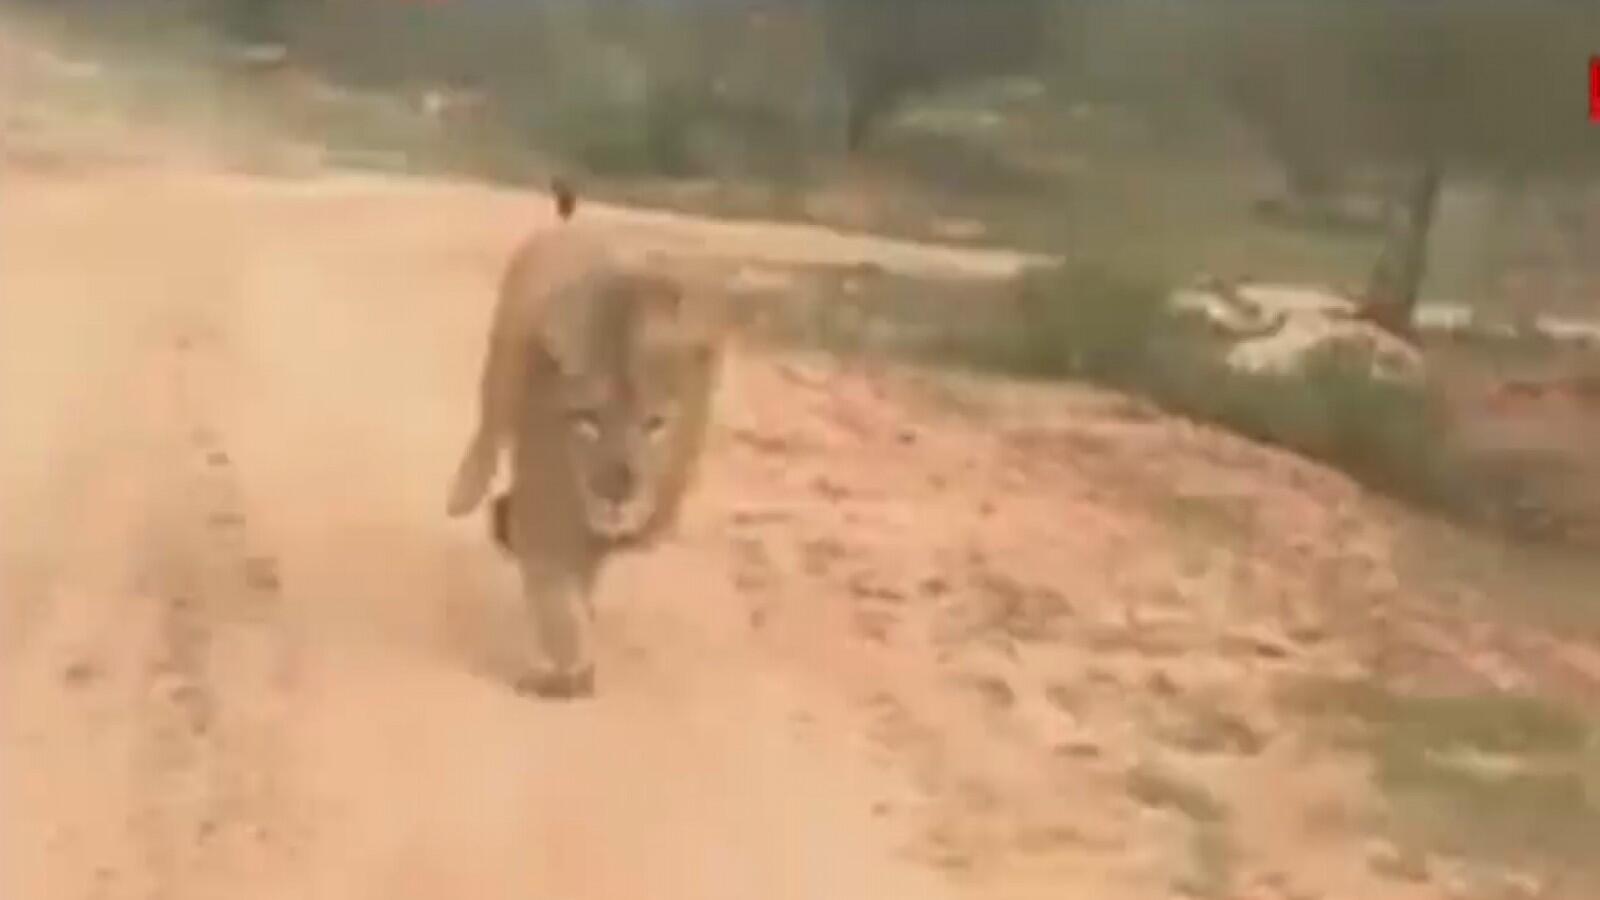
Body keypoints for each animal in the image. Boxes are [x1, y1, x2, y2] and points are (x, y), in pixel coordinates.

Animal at [446, 183, 724, 699]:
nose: (616, 494)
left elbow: (583, 582)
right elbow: (557, 600)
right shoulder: (545, 508)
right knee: (488, 427)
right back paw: (466, 494)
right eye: (588, 420)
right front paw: (568, 668)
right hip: (501, 359)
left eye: (655, 424)